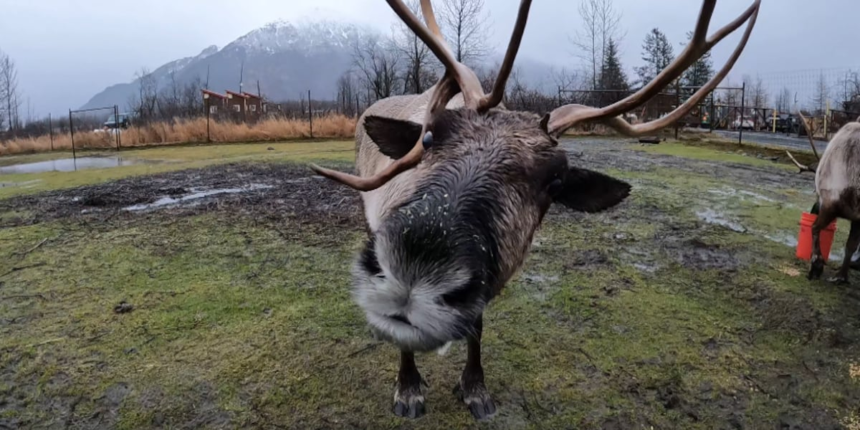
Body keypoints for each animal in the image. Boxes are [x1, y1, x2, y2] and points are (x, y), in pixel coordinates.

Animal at [309, 0, 760, 421]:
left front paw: (475, 388)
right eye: (431, 137)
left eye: (555, 181)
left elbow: (477, 330)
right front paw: (409, 390)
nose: (419, 261)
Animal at [788, 113, 860, 284]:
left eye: (815, 190)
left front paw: (816, 265)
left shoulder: (830, 202)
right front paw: (841, 276)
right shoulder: (856, 216)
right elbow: (851, 245)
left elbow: (814, 227)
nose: (813, 209)